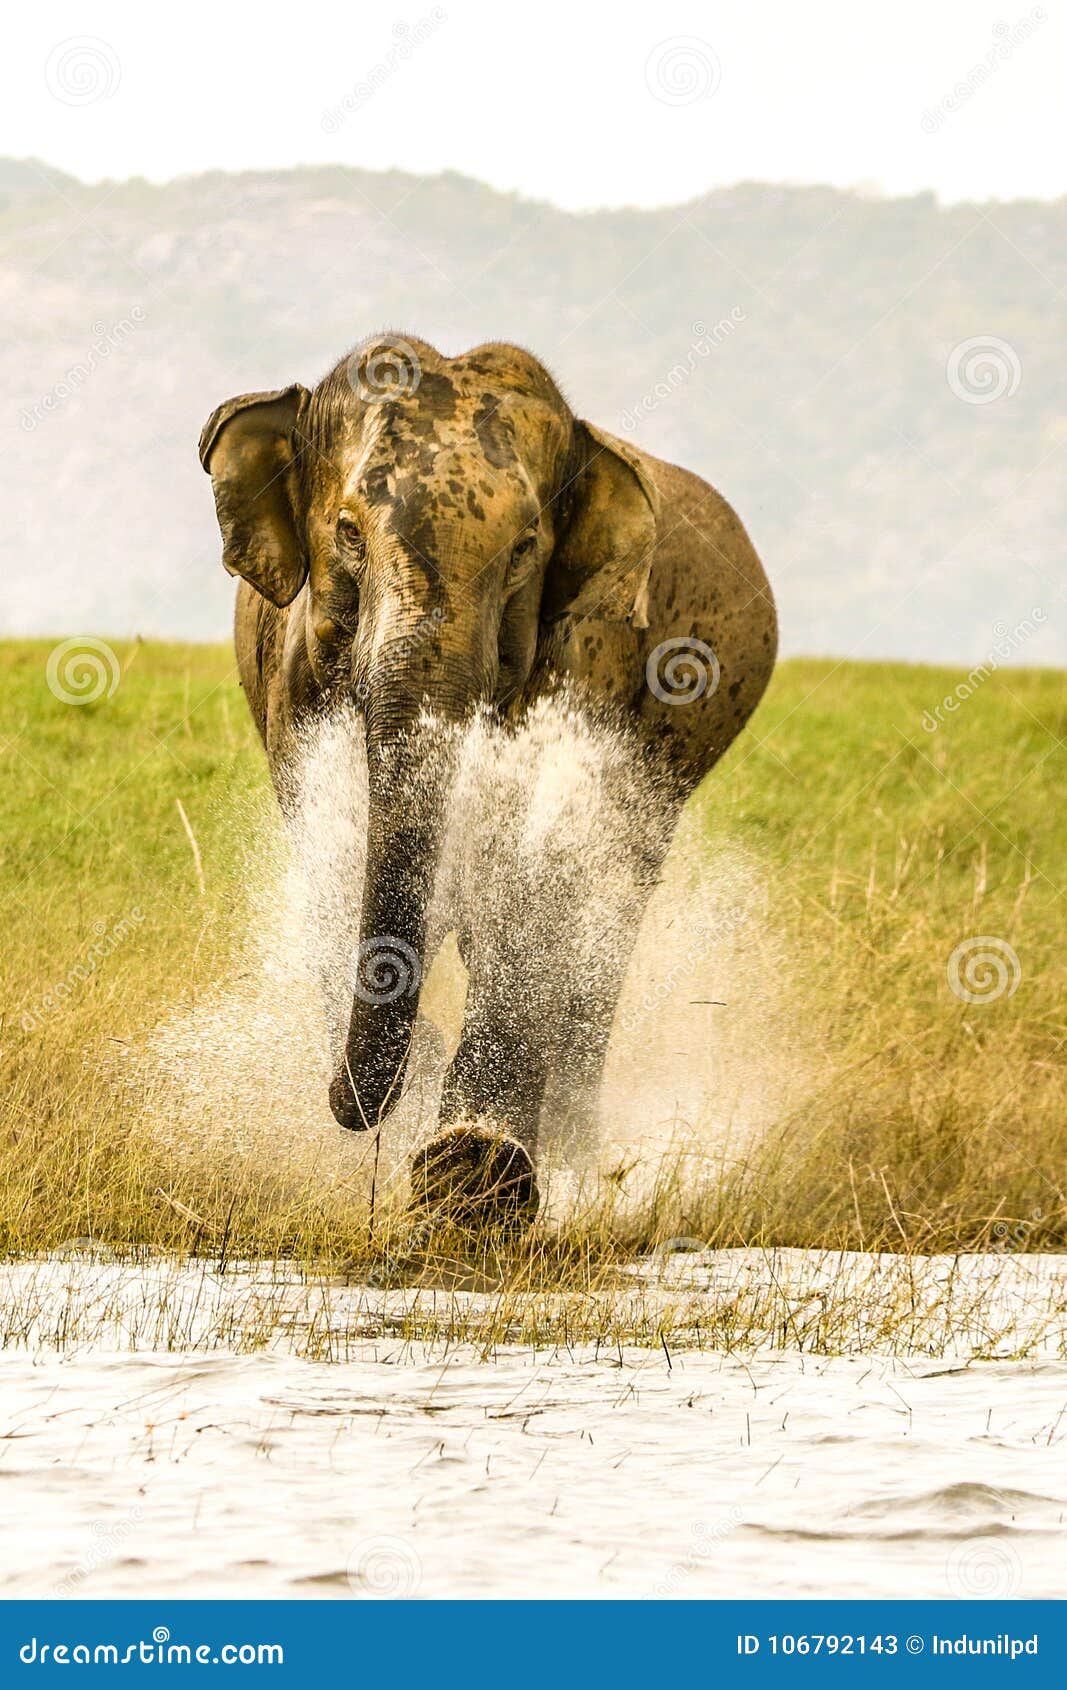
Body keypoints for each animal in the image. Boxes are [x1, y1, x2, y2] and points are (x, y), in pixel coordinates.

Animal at [199, 334, 776, 1212]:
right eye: (348, 533)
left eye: (525, 549)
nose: (356, 1111)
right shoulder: (290, 679)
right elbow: (334, 858)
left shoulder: (585, 651)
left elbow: (531, 876)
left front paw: (470, 1181)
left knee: (605, 915)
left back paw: (574, 1163)